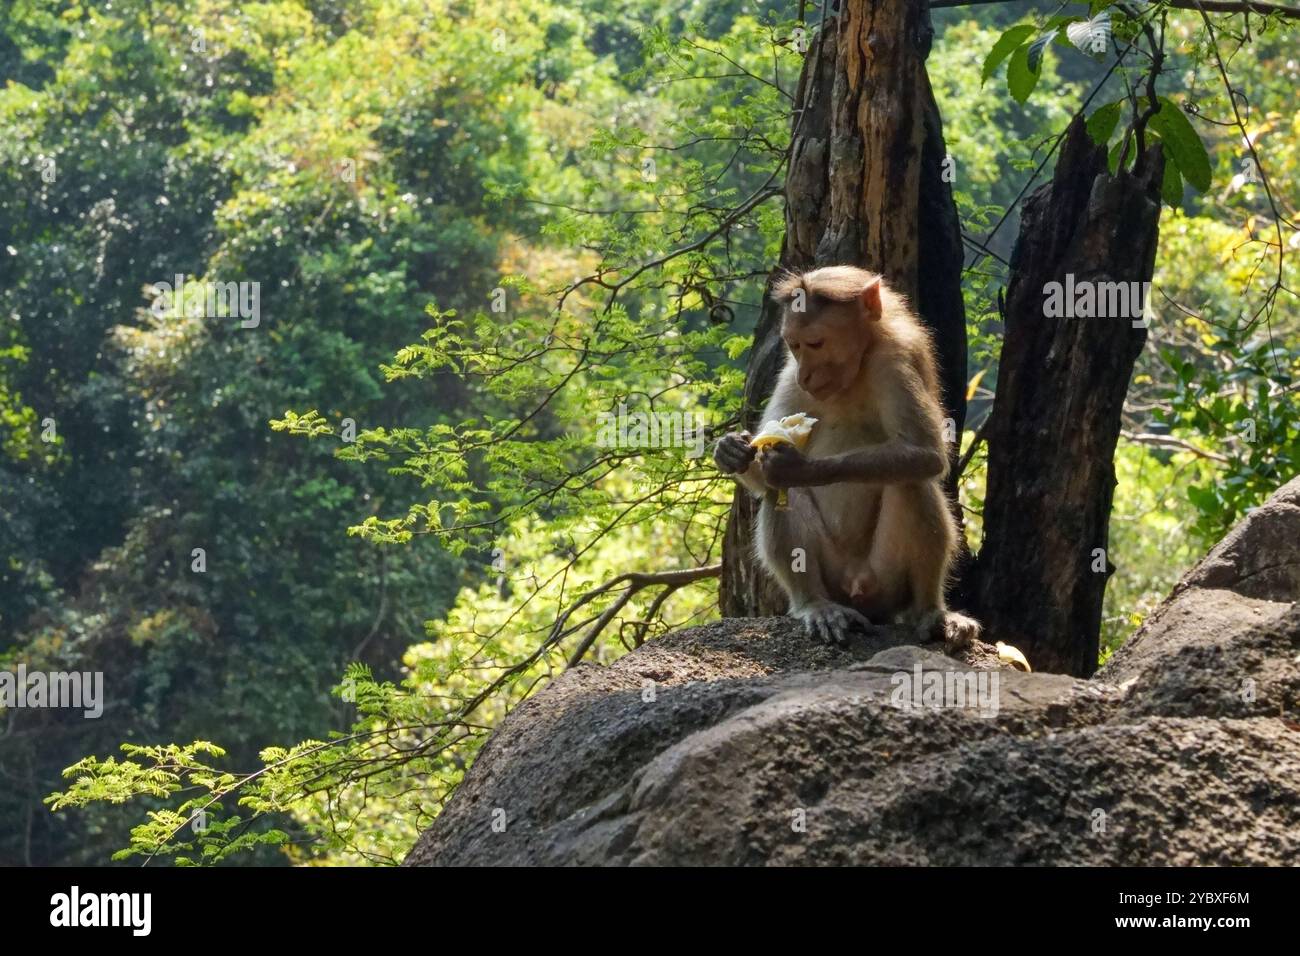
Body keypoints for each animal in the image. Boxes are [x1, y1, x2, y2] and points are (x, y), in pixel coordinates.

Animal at [713, 265, 980, 650]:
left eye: (815, 343)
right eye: (794, 346)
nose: (805, 374)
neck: (858, 365)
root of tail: (857, 587)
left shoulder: (895, 358)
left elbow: (925, 452)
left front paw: (801, 468)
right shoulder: (787, 376)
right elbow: (766, 470)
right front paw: (732, 451)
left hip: (886, 583)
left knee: (912, 480)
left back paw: (930, 610)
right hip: (833, 574)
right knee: (780, 493)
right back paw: (815, 604)